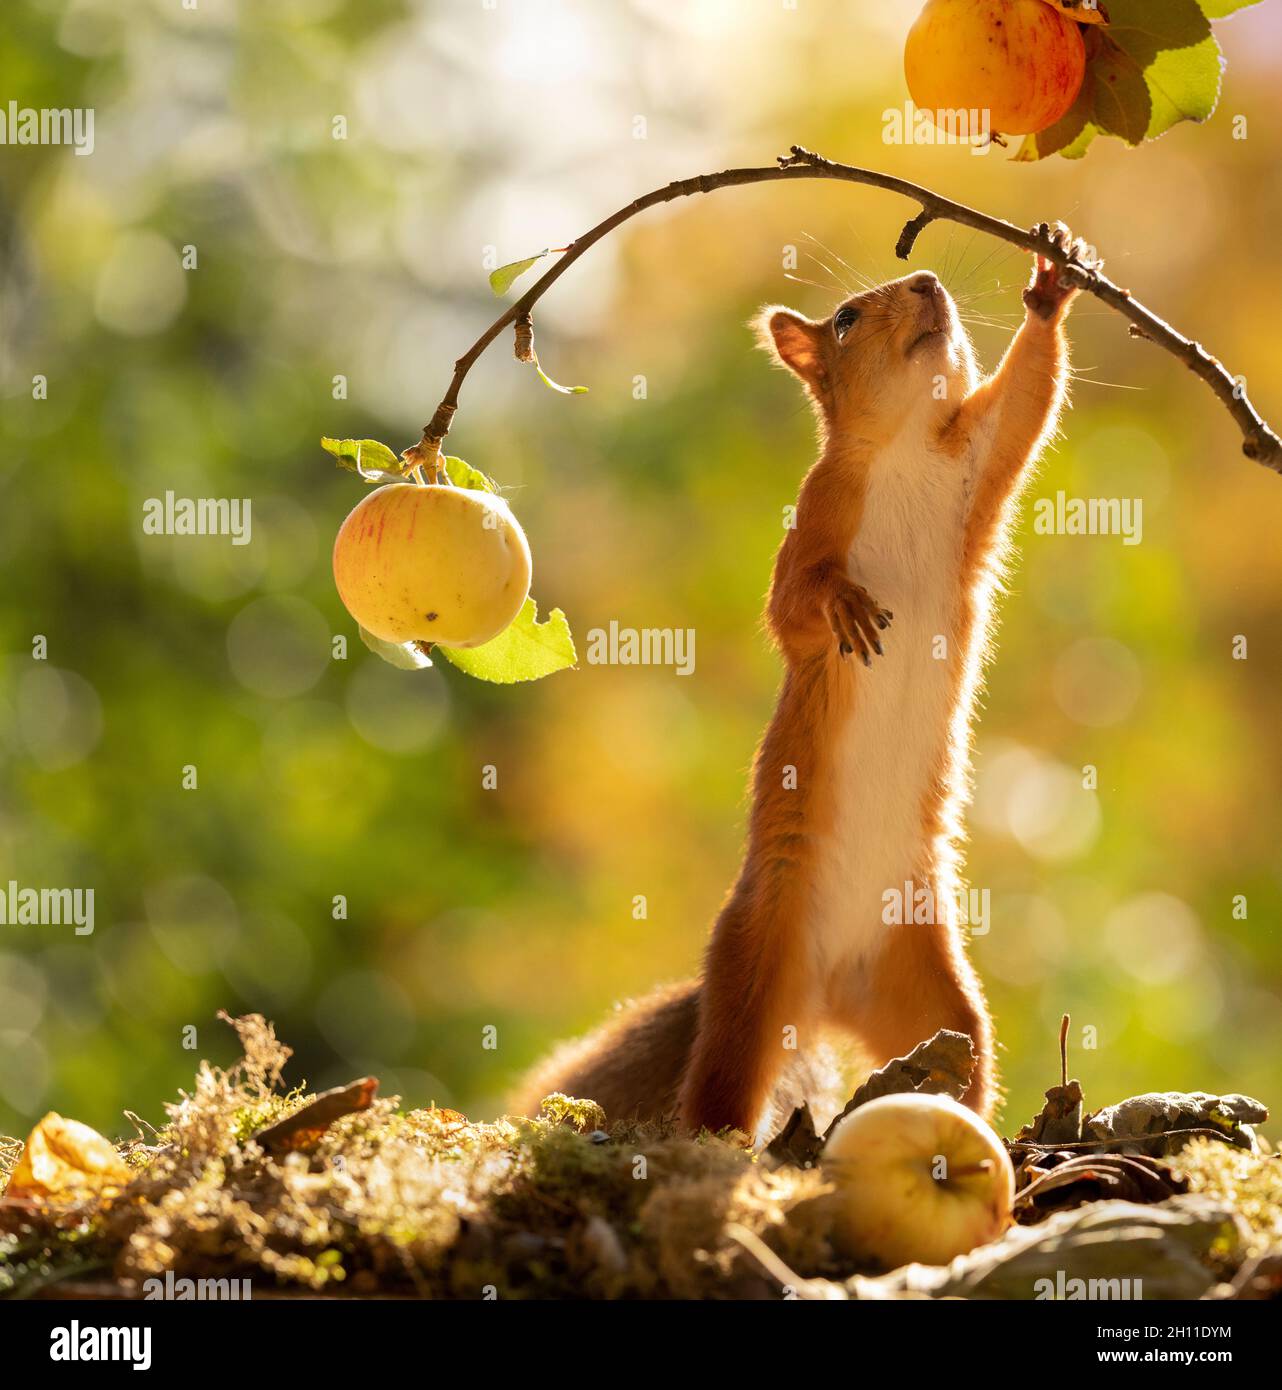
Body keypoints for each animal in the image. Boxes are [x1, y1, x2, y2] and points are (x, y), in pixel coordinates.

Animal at [513, 226, 1097, 1140]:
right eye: (849, 317)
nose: (928, 283)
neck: (903, 449)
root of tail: (824, 995)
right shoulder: (813, 516)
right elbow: (790, 607)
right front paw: (842, 605)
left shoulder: (980, 461)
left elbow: (1027, 401)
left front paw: (1050, 283)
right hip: (756, 965)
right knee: (718, 1088)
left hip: (926, 985)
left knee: (962, 1048)